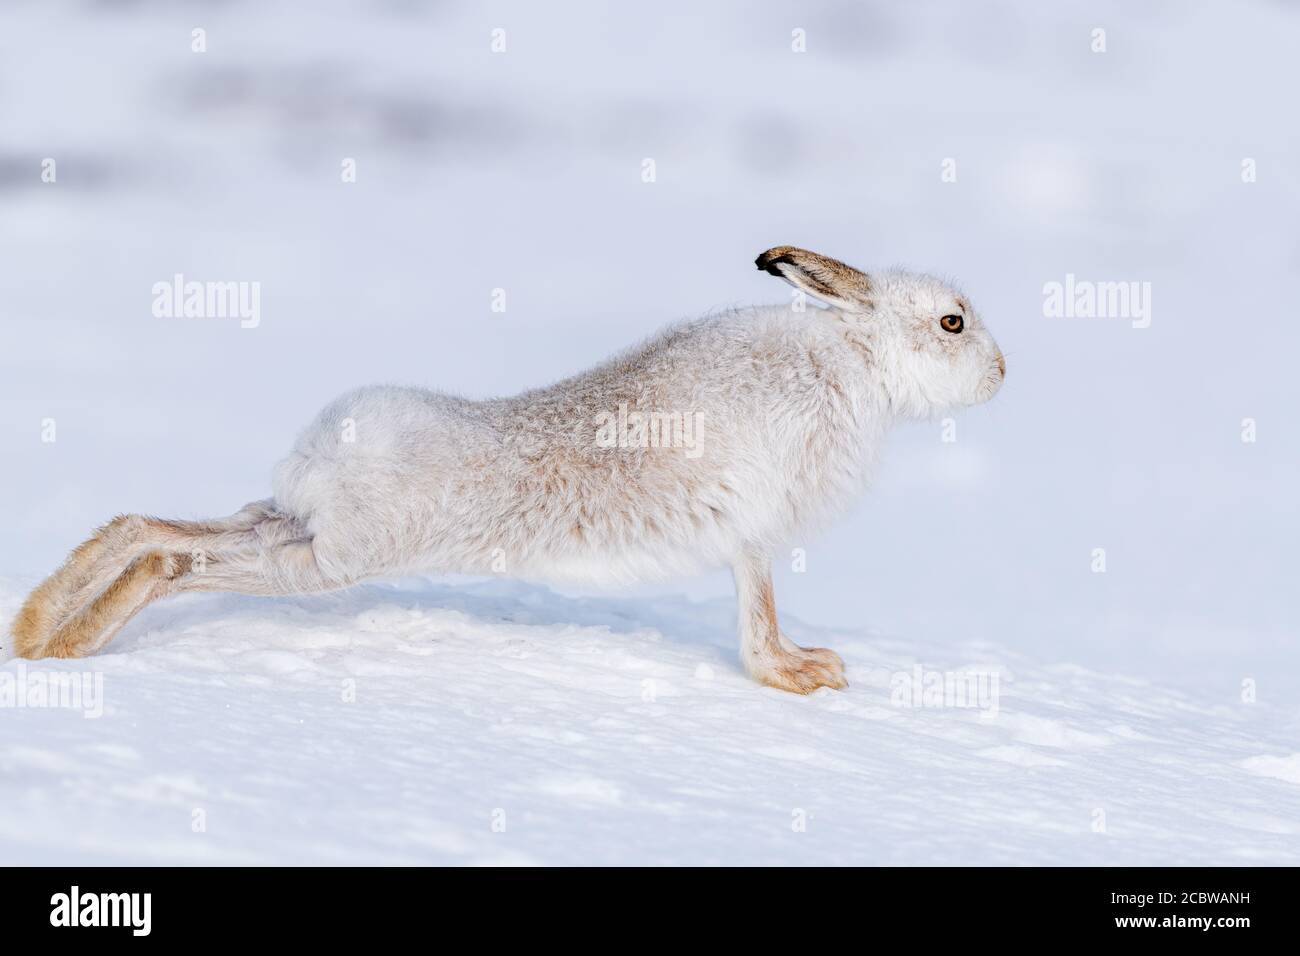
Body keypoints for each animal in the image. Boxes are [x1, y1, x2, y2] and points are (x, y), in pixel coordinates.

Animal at [10, 246, 1005, 693]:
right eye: (952, 323)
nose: (1001, 374)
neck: (857, 360)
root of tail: (325, 443)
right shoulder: (755, 538)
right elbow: (757, 622)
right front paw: (806, 674)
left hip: (291, 526)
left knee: (148, 526)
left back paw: (34, 630)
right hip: (332, 559)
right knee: (171, 560)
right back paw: (64, 646)